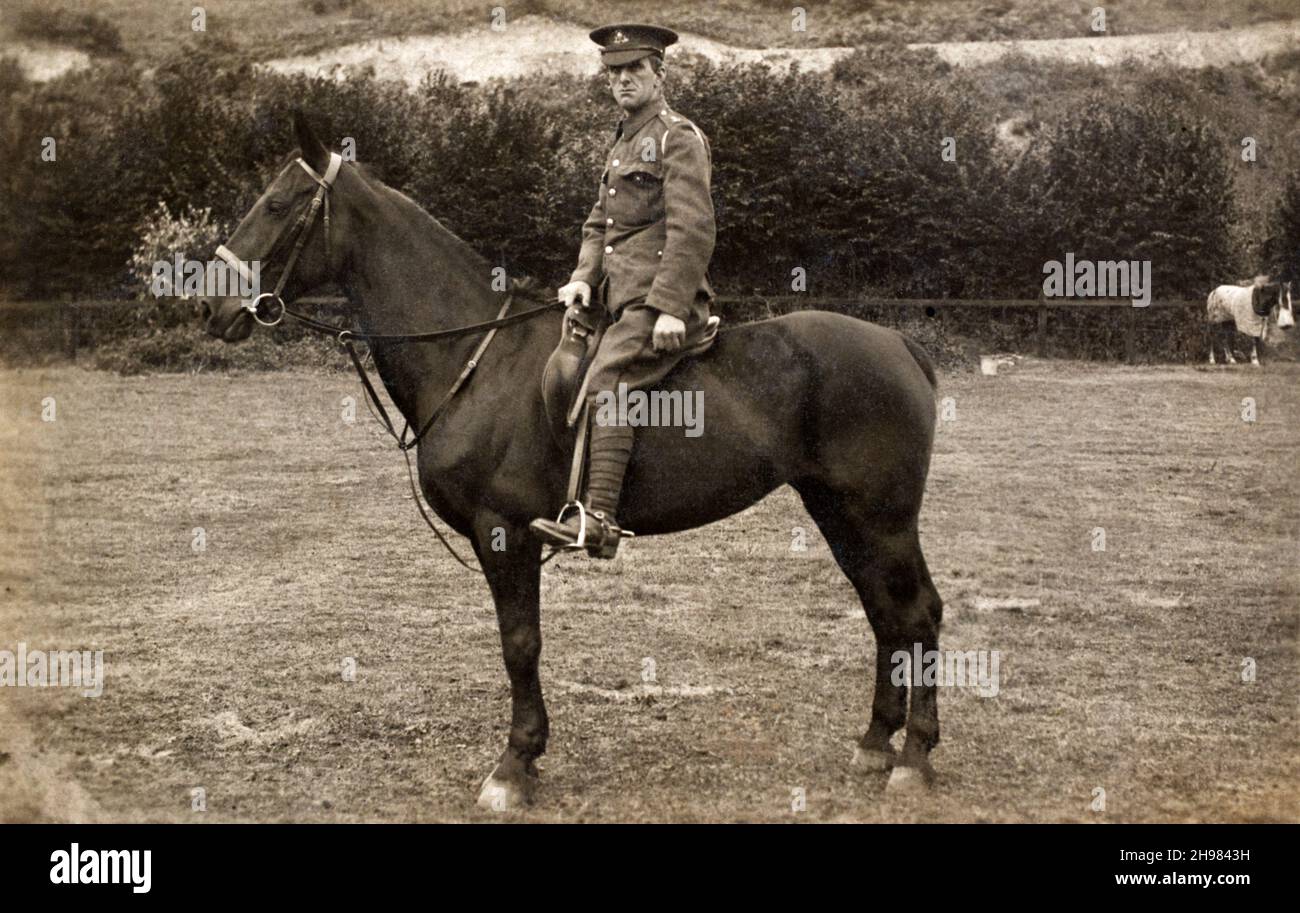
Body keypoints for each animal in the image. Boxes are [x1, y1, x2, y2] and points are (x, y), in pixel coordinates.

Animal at [195, 116, 946, 816]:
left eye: (277, 202)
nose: (211, 305)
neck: (476, 357)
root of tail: (900, 343)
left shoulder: (504, 531)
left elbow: (520, 644)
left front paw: (514, 763)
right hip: (837, 511)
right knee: (884, 612)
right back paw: (876, 742)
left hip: (880, 517)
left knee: (917, 613)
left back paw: (914, 756)